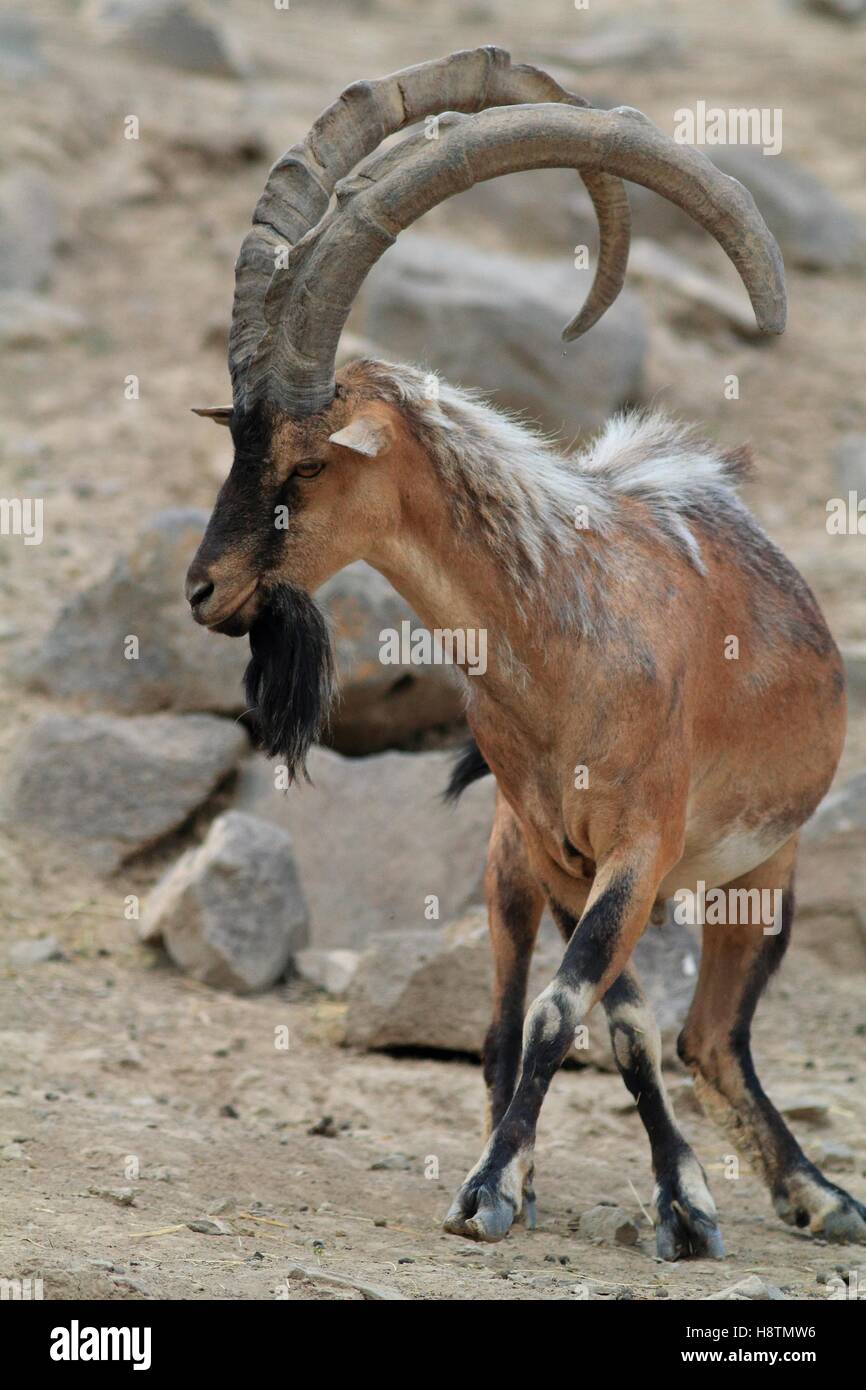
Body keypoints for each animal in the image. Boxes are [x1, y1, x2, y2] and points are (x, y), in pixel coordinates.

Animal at [185, 49, 862, 1258]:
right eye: (237, 440)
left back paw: (817, 1194)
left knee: (715, 1033)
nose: (204, 589)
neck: (564, 638)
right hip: (511, 859)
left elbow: (580, 1005)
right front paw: (587, 1190)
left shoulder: (641, 846)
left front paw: (513, 1191)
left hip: (766, 868)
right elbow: (602, 1017)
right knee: (531, 1020)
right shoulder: (555, 848)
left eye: (306, 463)